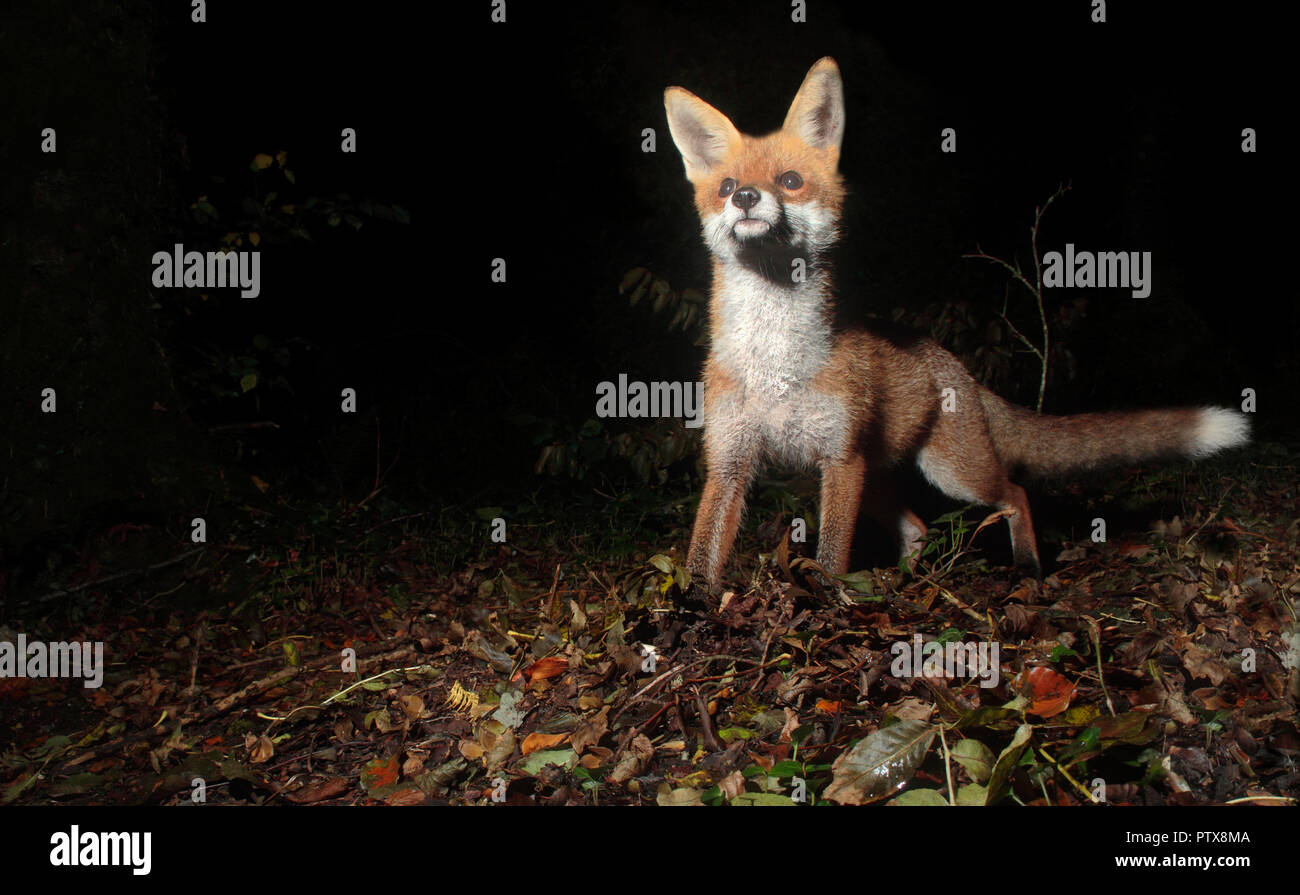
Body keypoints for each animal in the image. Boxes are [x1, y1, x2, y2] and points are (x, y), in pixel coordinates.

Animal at [664, 57, 1250, 591]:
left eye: (789, 181)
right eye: (727, 186)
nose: (745, 197)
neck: (774, 365)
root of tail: (957, 367)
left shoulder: (840, 458)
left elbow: (830, 557)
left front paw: (825, 605)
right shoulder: (730, 460)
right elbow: (701, 556)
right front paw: (692, 612)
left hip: (952, 472)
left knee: (1014, 494)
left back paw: (1027, 568)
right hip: (881, 478)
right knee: (919, 528)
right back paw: (906, 583)